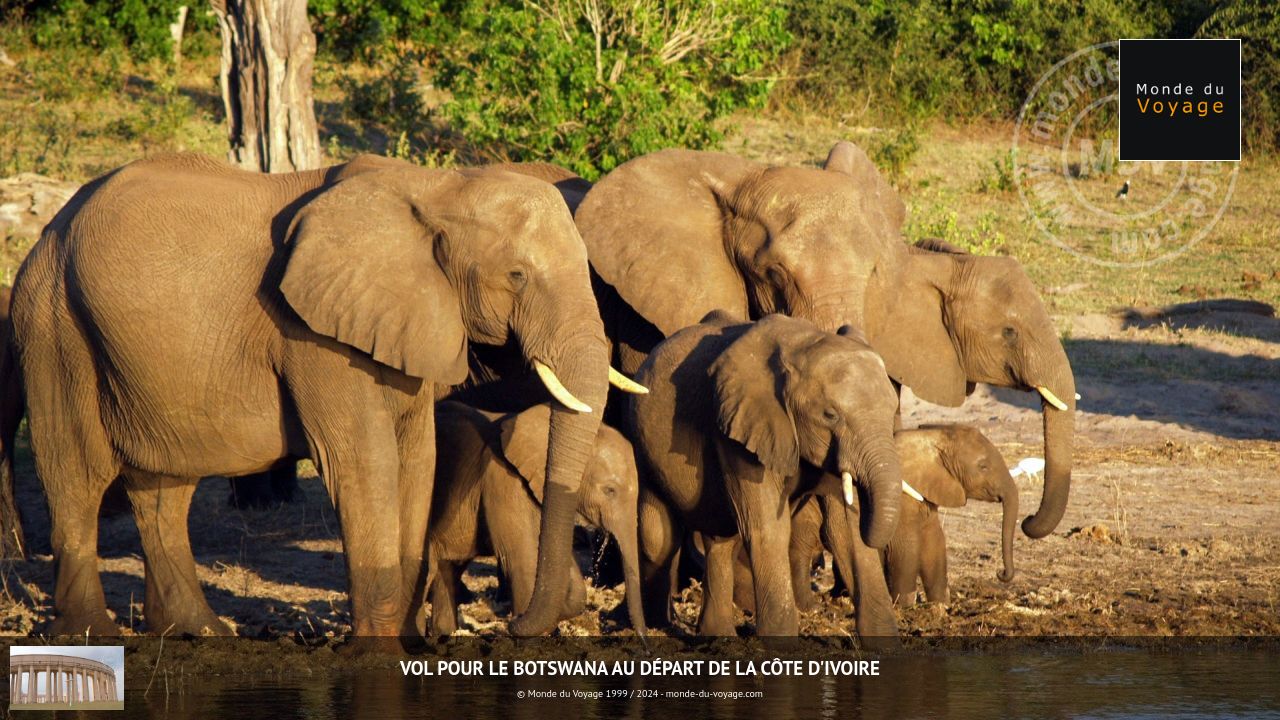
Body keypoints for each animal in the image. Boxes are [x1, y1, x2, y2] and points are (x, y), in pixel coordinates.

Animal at [8, 151, 609, 632]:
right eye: (517, 276)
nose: (515, 625)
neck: (434, 187)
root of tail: (51, 228)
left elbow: (418, 459)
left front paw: (411, 643)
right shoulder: (313, 335)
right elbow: (366, 463)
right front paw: (377, 650)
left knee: (163, 487)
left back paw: (200, 632)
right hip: (55, 324)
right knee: (77, 474)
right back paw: (91, 633)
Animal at [880, 422, 1018, 602]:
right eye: (983, 467)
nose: (1000, 573)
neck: (932, 436)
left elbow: (934, 540)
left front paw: (941, 605)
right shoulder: (898, 497)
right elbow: (905, 545)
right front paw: (905, 605)